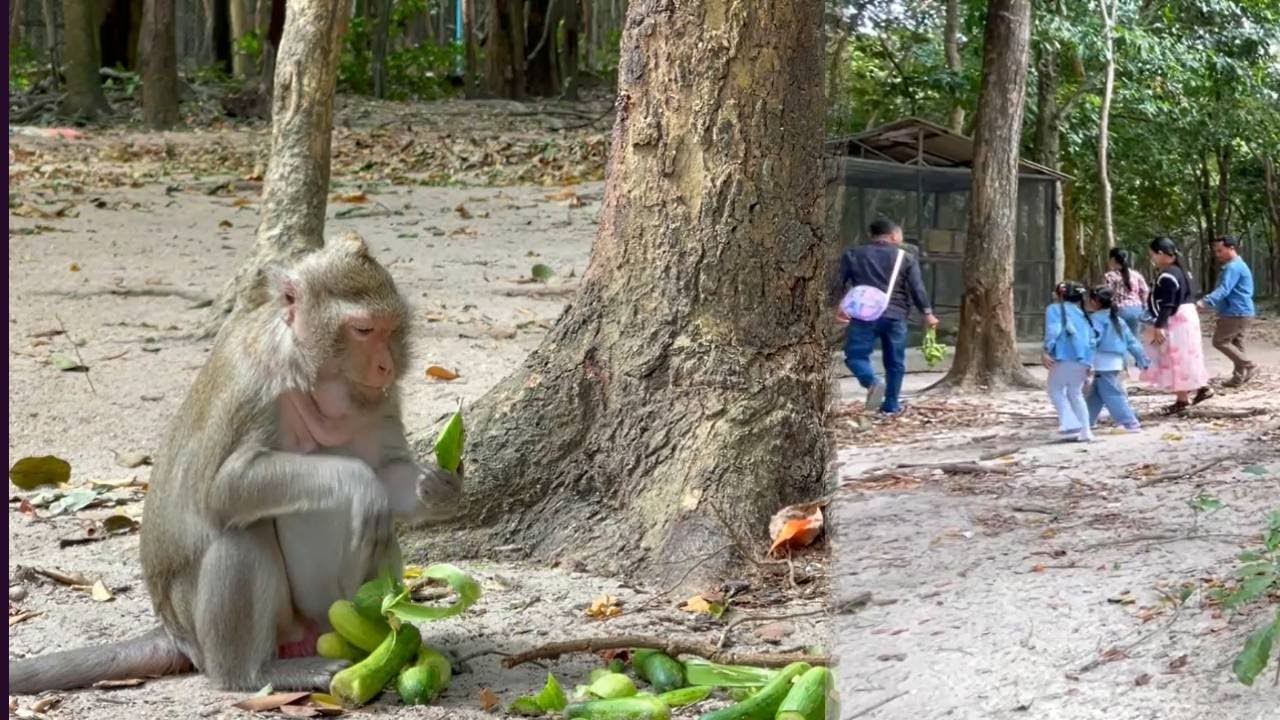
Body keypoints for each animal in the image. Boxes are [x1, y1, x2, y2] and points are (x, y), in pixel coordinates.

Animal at [9, 234, 463, 694]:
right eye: (363, 330)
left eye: (391, 330)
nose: (387, 364)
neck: (310, 378)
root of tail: (173, 630)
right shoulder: (252, 387)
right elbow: (222, 490)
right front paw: (362, 483)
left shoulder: (381, 400)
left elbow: (390, 471)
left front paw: (436, 488)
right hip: (209, 625)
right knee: (244, 534)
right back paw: (256, 673)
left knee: (371, 533)